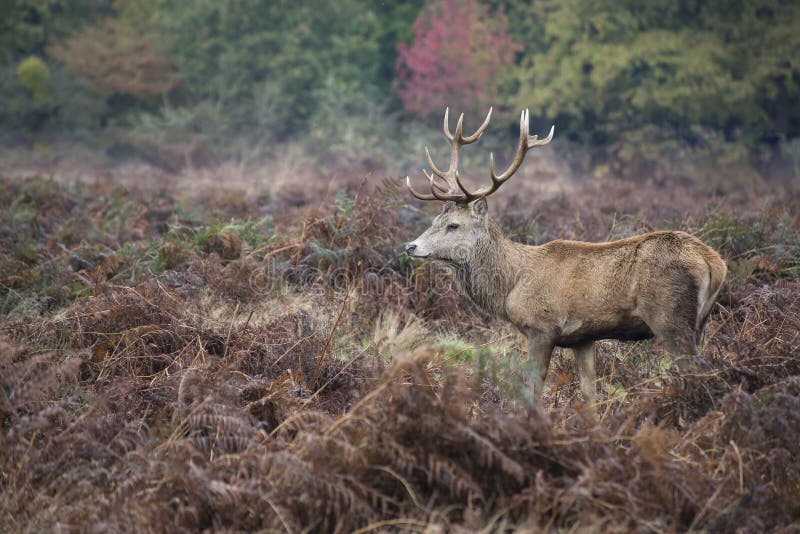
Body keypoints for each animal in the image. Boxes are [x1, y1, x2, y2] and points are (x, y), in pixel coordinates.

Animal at [404, 108, 727, 407]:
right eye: (434, 221)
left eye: (453, 225)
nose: (410, 246)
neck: (511, 286)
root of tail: (715, 263)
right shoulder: (582, 338)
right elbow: (589, 392)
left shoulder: (542, 327)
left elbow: (533, 388)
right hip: (699, 323)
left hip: (670, 319)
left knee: (697, 370)